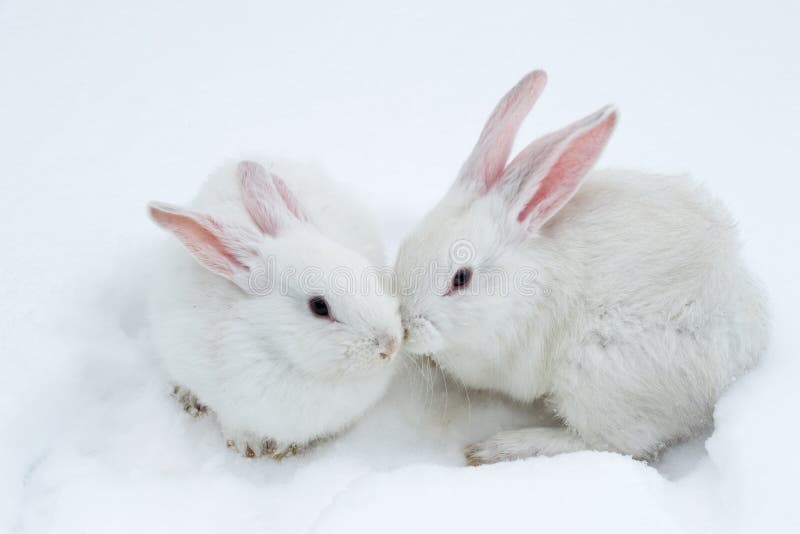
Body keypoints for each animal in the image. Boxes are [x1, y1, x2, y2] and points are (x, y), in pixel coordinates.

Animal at [394, 70, 769, 465]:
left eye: (461, 278)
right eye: (405, 247)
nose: (405, 328)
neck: (520, 286)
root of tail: (739, 359)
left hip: (598, 375)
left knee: (611, 444)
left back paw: (500, 447)